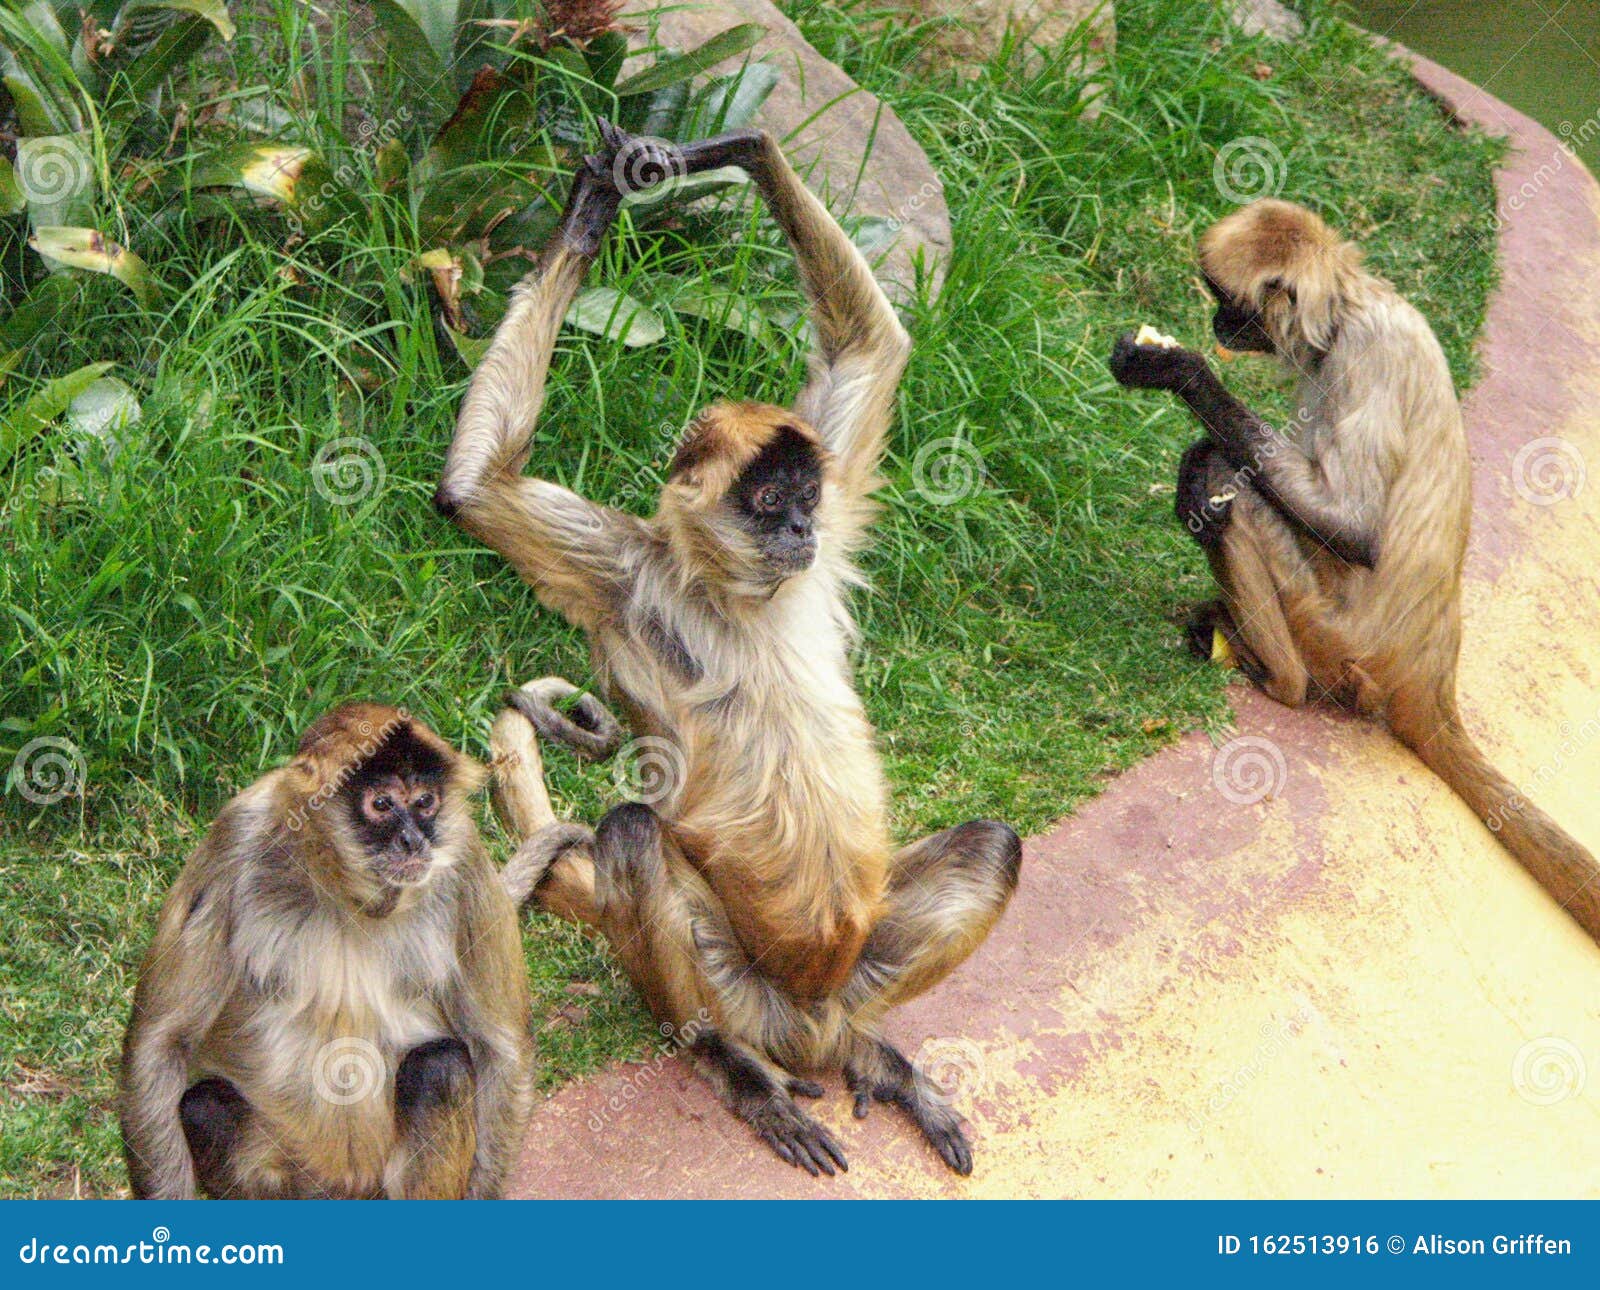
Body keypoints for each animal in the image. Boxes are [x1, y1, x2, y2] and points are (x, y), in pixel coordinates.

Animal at [117, 704, 536, 1199]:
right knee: (203, 1104)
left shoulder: (464, 853)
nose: (414, 841)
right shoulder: (236, 834)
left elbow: (497, 1046)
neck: (347, 892)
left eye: (424, 802)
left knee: (440, 1064)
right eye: (381, 805)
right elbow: (160, 1043)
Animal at [436, 122, 1022, 1177]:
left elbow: (875, 344)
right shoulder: (626, 571)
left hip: (860, 956)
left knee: (995, 844)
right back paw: (730, 1063)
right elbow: (471, 489)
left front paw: (719, 151)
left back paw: (865, 1056)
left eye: (804, 497)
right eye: (768, 500)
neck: (737, 594)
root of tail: (802, 1013)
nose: (800, 530)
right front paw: (596, 203)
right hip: (734, 977)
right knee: (633, 833)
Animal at [1108, 196, 1600, 945]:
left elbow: (1356, 531)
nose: (1217, 325)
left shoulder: (1360, 356)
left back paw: (1278, 677)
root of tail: (1430, 666)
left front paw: (1181, 372)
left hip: (1328, 624)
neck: (1351, 305)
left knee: (1232, 486)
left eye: (1225, 301)